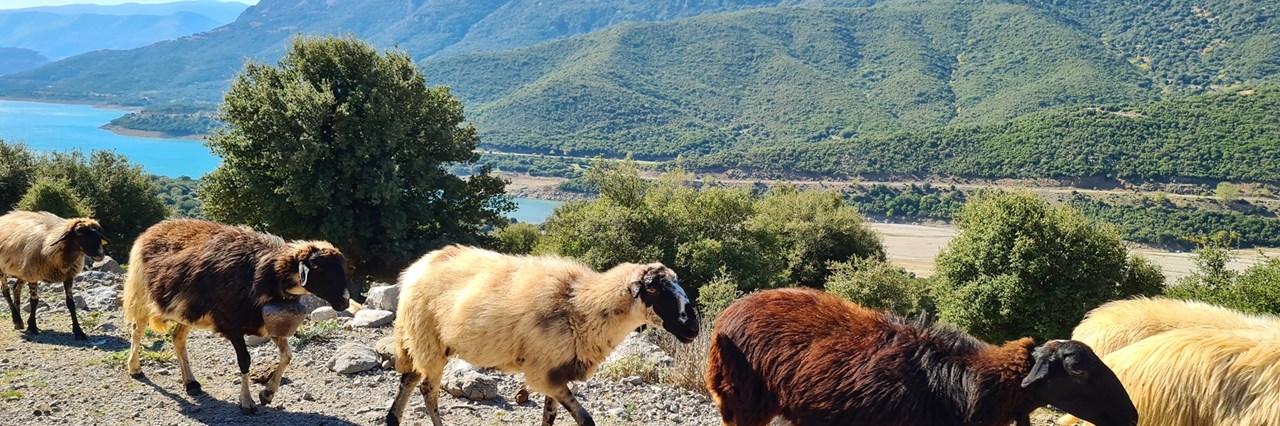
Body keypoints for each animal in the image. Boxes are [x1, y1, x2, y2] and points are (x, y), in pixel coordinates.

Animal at [0, 210, 108, 340]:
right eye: (78, 231)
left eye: (99, 232)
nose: (100, 254)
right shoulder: (33, 274)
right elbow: (34, 301)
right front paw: (32, 326)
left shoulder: (68, 276)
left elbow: (71, 303)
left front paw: (78, 331)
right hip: (5, 269)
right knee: (5, 290)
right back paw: (17, 319)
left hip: (22, 271)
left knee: (16, 287)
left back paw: (18, 321)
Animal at [122, 219, 350, 414]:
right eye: (320, 269)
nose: (345, 302)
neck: (266, 273)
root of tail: (153, 229)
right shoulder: (231, 325)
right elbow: (245, 361)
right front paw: (247, 402)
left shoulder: (266, 322)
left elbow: (287, 355)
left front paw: (267, 394)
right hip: (141, 293)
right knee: (137, 330)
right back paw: (135, 368)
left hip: (188, 311)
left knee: (177, 338)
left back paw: (191, 384)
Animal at [385, 245, 700, 426]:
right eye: (653, 287)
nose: (693, 328)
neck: (582, 306)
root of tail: (416, 268)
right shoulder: (542, 373)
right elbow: (585, 420)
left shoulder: (555, 371)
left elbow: (550, 416)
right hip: (428, 339)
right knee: (427, 389)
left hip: (426, 340)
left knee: (409, 378)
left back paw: (392, 419)